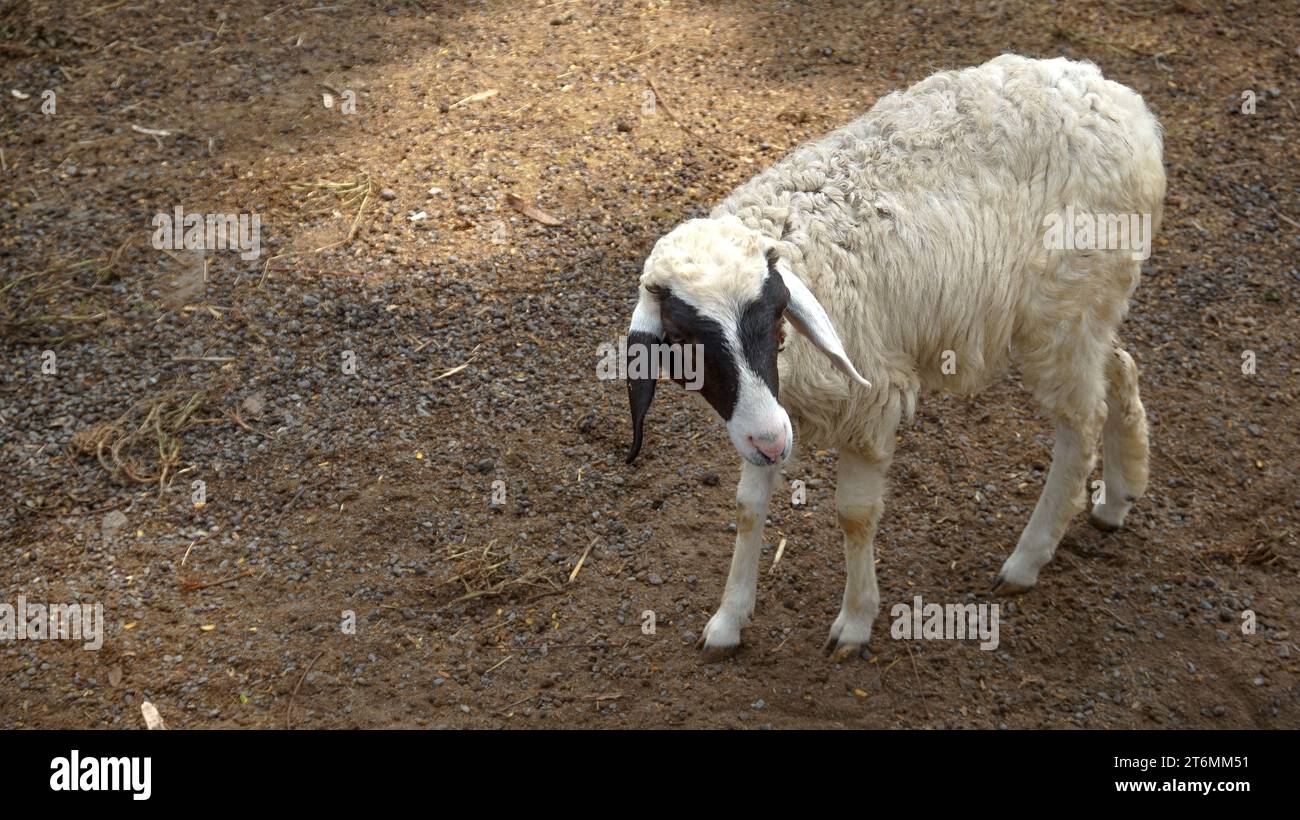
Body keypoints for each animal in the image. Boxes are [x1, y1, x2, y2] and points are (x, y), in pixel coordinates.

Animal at [624, 55, 1164, 662]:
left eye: (774, 314)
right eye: (683, 339)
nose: (773, 440)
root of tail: (1118, 100)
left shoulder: (865, 405)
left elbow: (854, 516)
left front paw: (856, 621)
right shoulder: (764, 414)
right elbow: (746, 507)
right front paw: (728, 620)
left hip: (1062, 310)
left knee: (1081, 424)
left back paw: (1027, 559)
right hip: (1087, 308)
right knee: (1119, 367)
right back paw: (1119, 495)